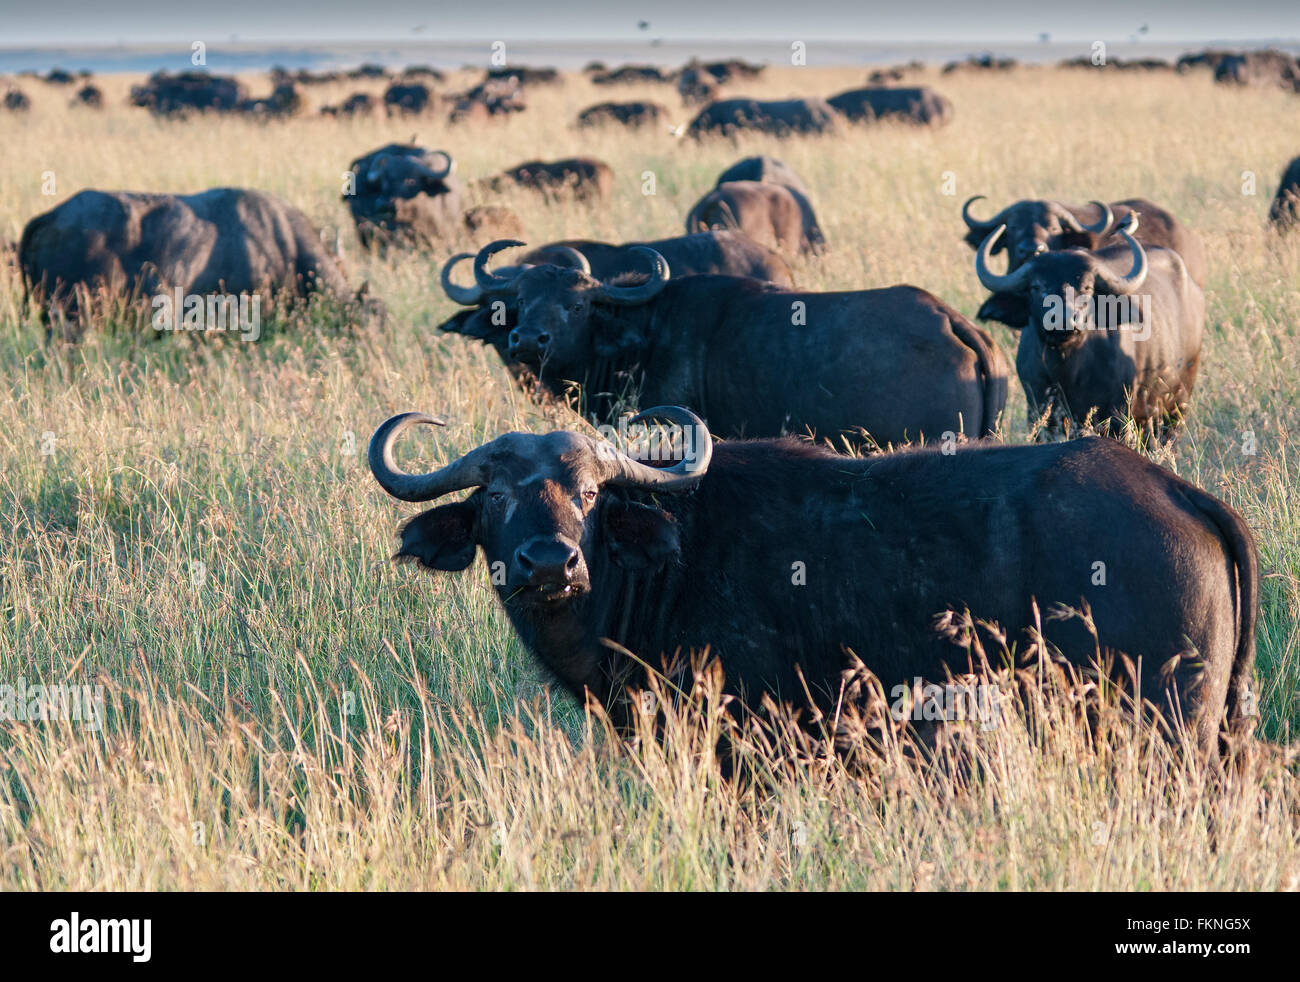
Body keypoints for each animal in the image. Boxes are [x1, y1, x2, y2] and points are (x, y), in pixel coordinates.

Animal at [972, 217, 1204, 442]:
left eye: (1086, 287)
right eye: (1037, 286)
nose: (1064, 319)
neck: (1066, 371)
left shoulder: (1117, 417)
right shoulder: (1039, 415)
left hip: (1177, 403)